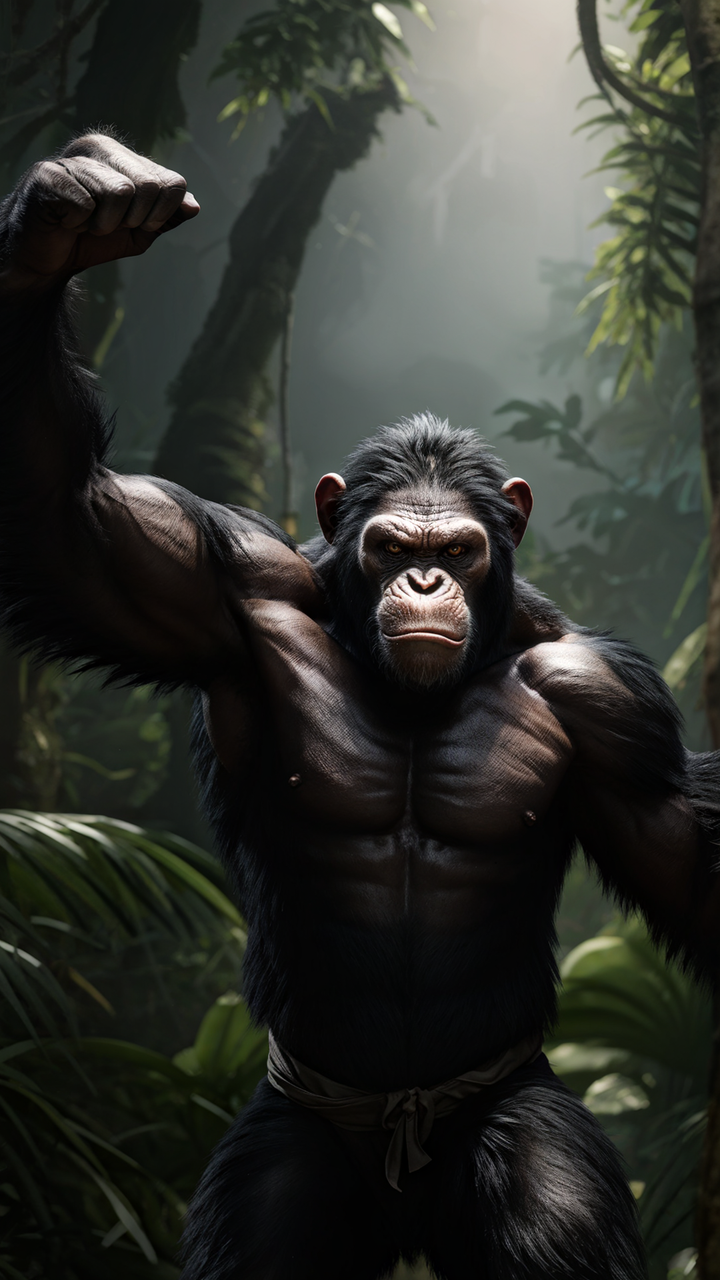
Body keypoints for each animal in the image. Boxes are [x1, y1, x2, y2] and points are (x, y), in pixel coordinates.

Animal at [1, 132, 719, 1280]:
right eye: (390, 546)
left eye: (457, 549)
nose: (423, 581)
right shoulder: (200, 577)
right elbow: (63, 519)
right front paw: (66, 219)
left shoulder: (614, 700)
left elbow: (681, 848)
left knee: (549, 1209)